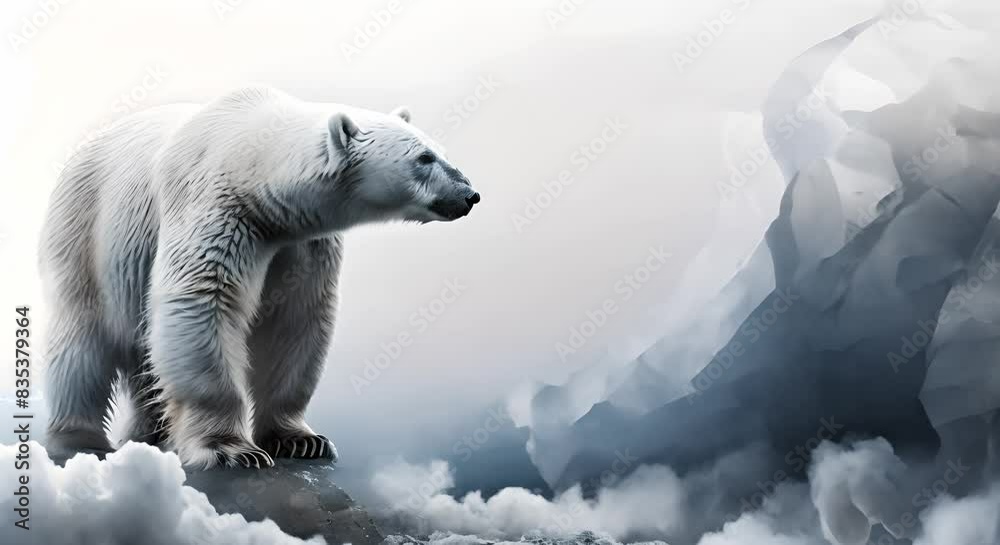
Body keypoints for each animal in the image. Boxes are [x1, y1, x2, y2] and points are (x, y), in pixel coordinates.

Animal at [39, 87, 480, 469]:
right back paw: (80, 437)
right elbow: (203, 300)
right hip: (86, 231)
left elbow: (296, 320)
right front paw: (232, 449)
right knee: (83, 339)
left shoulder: (303, 243)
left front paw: (302, 440)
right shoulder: (219, 210)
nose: (470, 194)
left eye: (440, 150)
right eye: (423, 158)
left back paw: (153, 432)